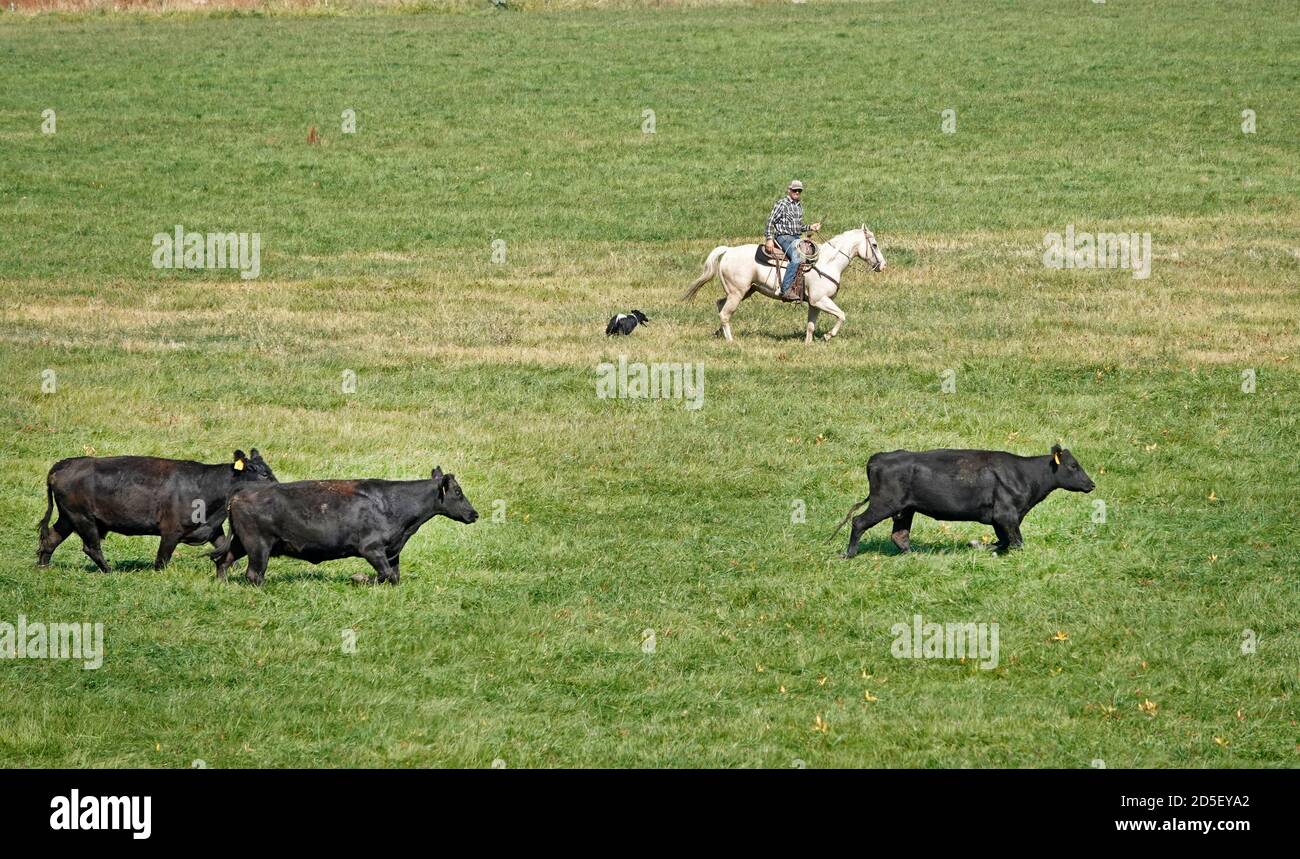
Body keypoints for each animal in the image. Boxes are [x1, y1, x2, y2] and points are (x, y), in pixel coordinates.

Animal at [38, 449, 276, 569]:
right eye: (264, 474)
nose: (278, 486)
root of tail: (64, 464)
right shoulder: (171, 530)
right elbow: (162, 559)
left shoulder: (211, 528)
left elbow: (222, 547)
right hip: (83, 517)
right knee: (91, 547)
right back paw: (110, 571)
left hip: (68, 516)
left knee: (50, 539)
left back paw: (43, 567)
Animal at [210, 465, 480, 587]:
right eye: (458, 492)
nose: (474, 514)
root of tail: (240, 493)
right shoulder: (371, 548)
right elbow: (385, 574)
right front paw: (358, 578)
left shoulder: (392, 551)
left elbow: (394, 576)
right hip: (258, 545)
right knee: (254, 574)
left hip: (242, 542)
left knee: (223, 560)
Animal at [681, 226, 883, 343]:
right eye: (874, 244)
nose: (883, 265)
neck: (827, 262)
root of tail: (729, 250)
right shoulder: (820, 300)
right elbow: (841, 315)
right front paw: (828, 335)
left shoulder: (814, 303)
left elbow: (811, 325)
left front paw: (808, 345)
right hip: (737, 293)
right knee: (724, 313)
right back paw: (731, 341)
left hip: (744, 292)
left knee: (720, 305)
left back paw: (719, 334)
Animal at [832, 441, 1097, 556]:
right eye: (1073, 466)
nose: (1091, 484)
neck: (1026, 475)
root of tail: (880, 456)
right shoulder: (1006, 514)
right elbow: (1016, 542)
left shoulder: (999, 518)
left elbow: (1003, 541)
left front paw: (978, 545)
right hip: (884, 503)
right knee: (858, 521)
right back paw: (849, 554)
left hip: (905, 509)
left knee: (900, 535)